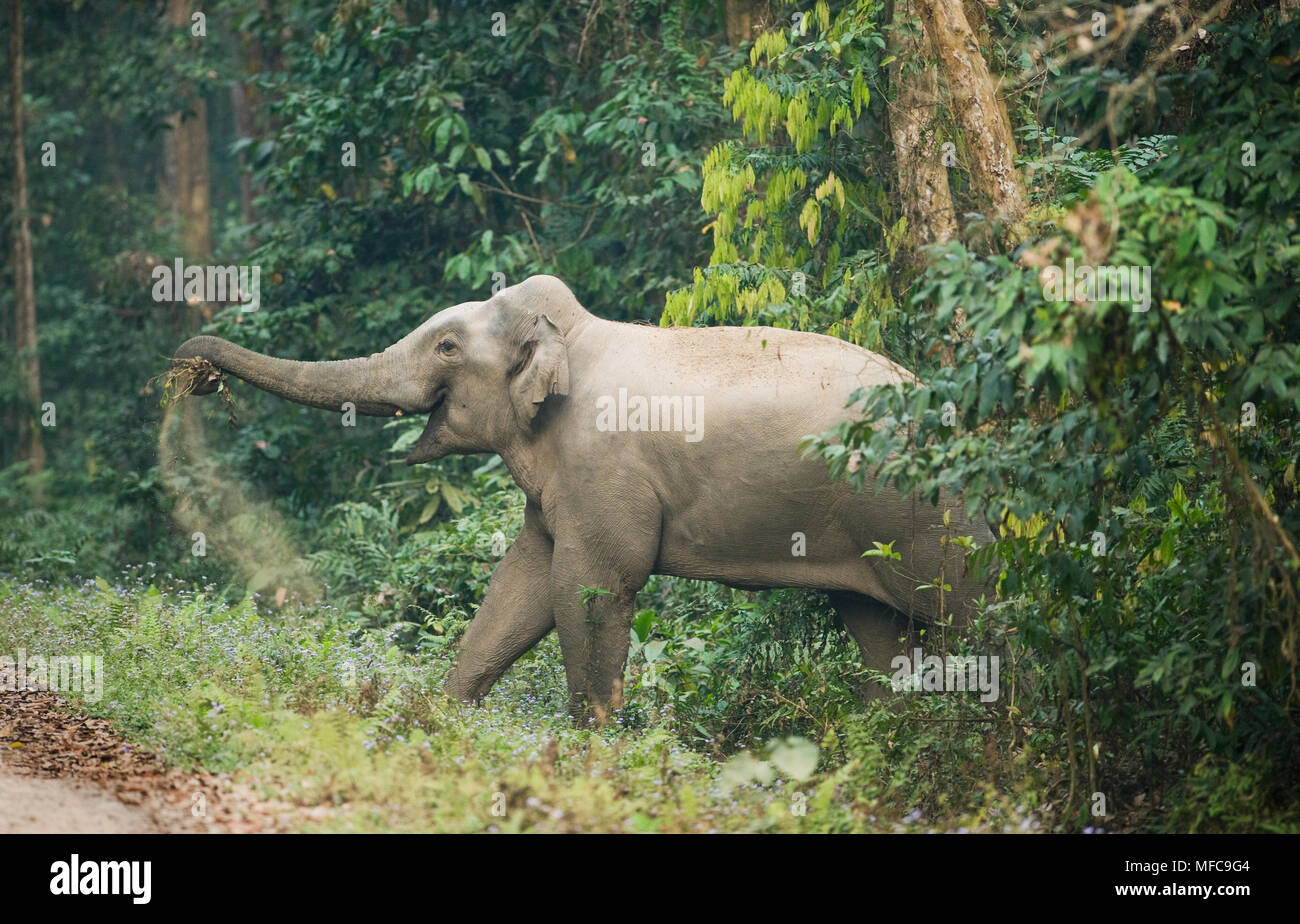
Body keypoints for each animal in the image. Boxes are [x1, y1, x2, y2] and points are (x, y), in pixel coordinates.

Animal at [174, 275, 995, 722]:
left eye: (445, 347)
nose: (191, 368)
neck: (571, 334)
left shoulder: (602, 468)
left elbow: (591, 586)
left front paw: (592, 745)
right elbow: (523, 586)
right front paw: (437, 721)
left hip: (926, 516)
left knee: (974, 616)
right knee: (883, 635)